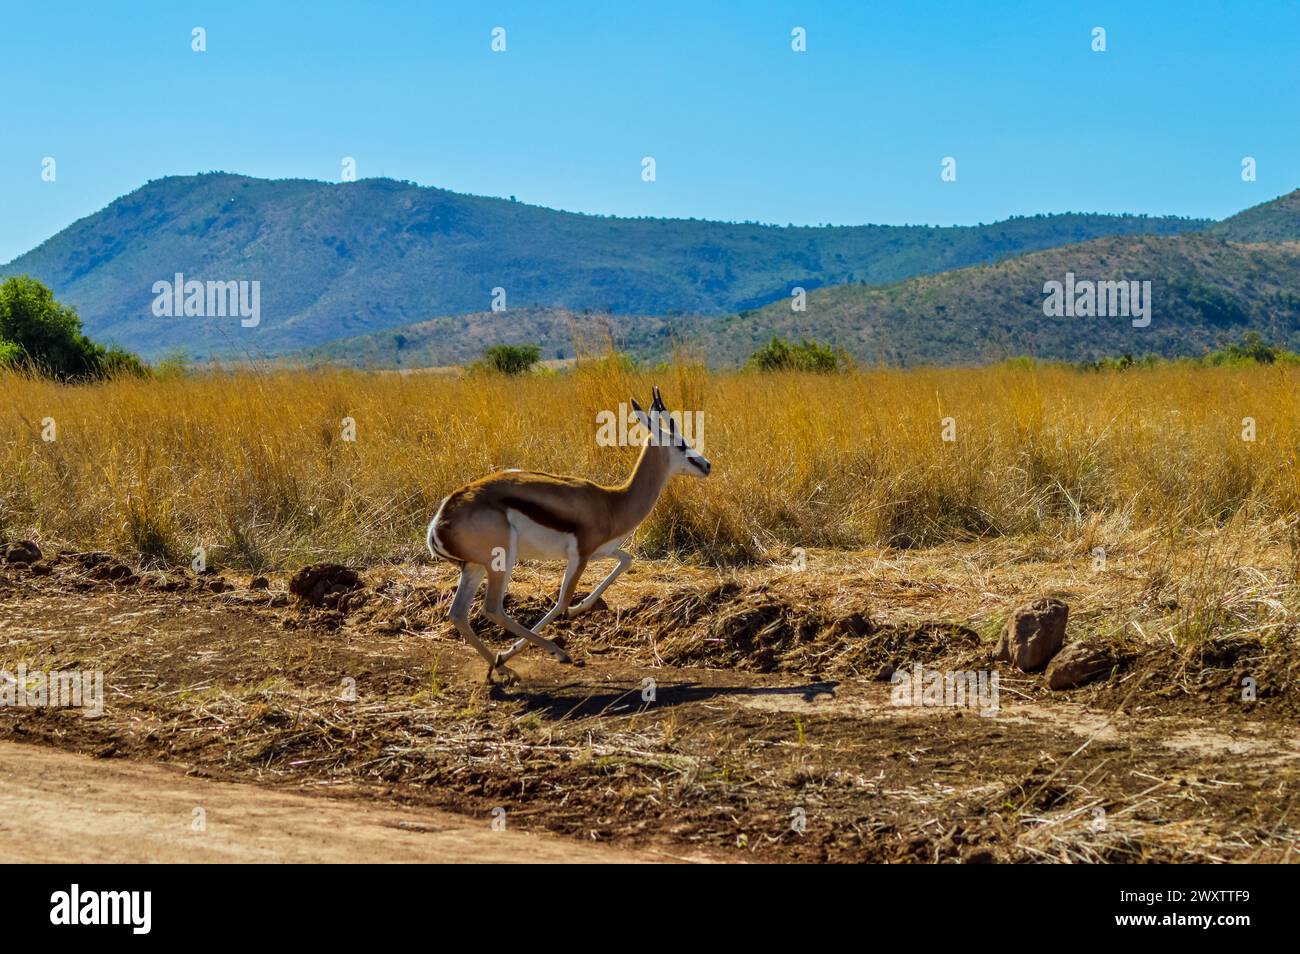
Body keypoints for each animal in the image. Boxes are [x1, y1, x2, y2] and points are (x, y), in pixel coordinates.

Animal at [427, 387, 711, 682]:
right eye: (680, 443)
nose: (707, 465)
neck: (612, 503)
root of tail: (441, 519)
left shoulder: (602, 552)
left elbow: (626, 561)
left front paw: (579, 608)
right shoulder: (580, 556)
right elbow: (562, 601)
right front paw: (515, 650)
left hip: (474, 567)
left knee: (458, 614)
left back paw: (502, 667)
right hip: (500, 562)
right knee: (492, 608)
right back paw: (543, 654)